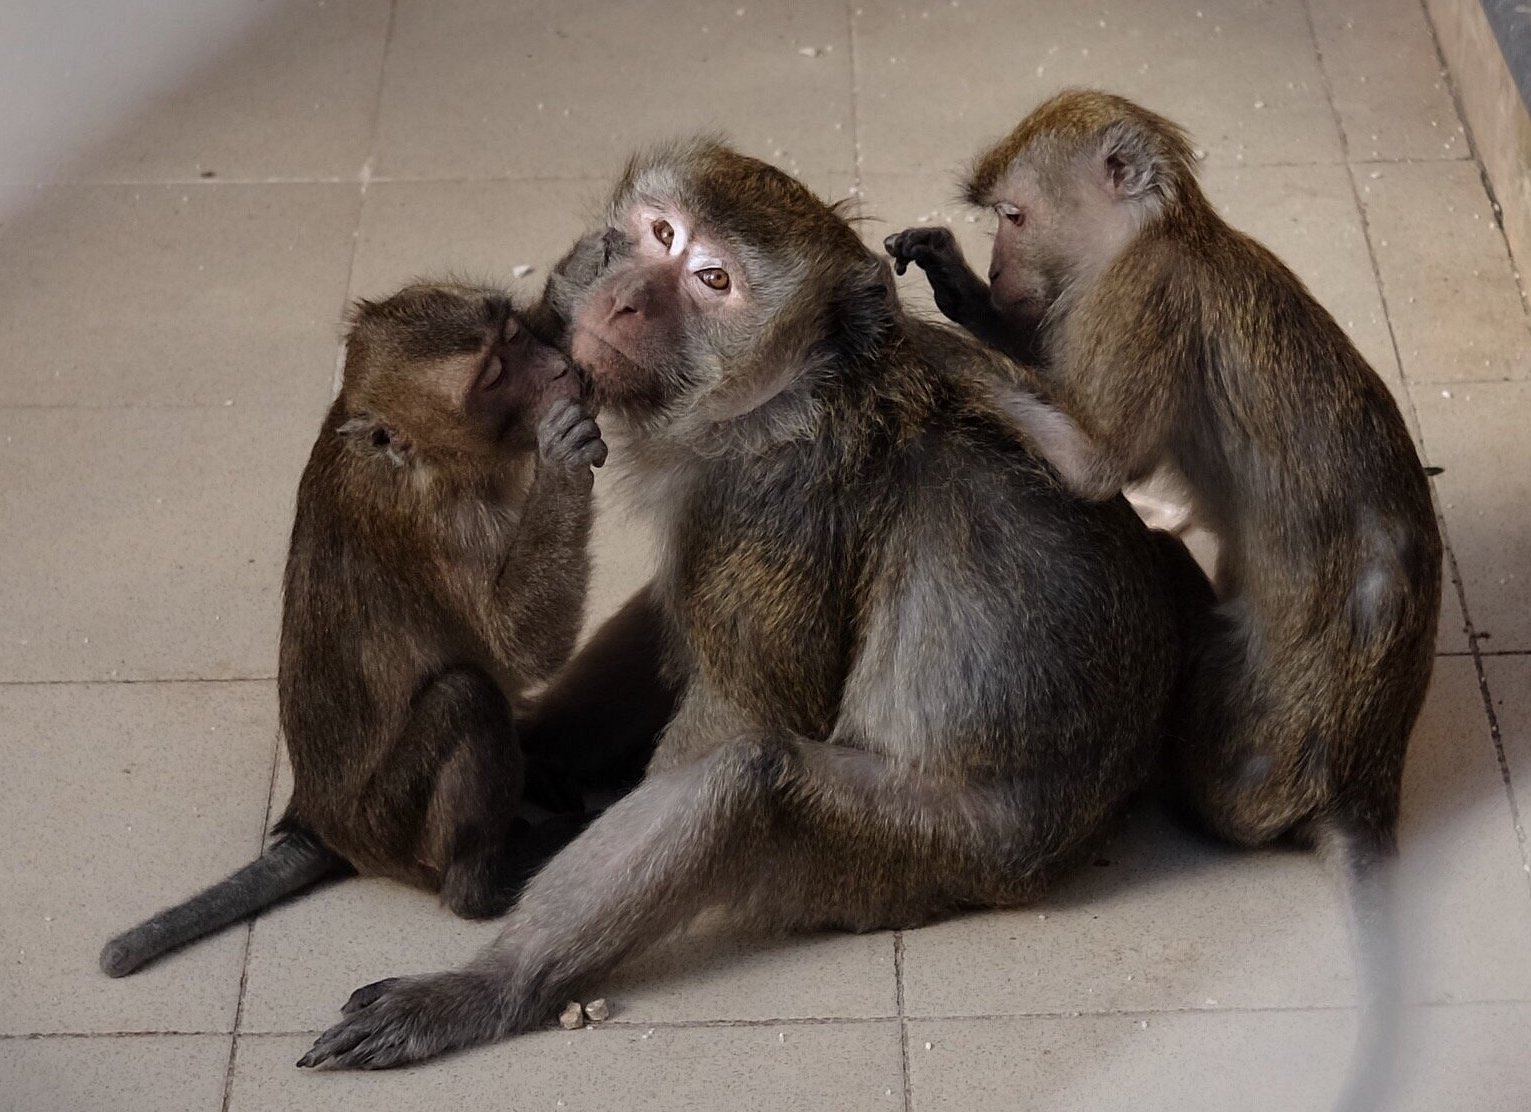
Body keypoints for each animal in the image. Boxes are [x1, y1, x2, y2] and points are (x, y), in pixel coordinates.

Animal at [98, 281, 607, 979]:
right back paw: (486, 880)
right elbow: (521, 644)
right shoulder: (440, 526)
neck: (429, 461)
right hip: (388, 825)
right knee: (466, 698)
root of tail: (321, 822)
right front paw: (562, 459)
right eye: (494, 377)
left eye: (511, 335)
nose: (559, 371)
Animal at [294, 137, 1194, 1071]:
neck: (782, 400)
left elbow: (739, 720)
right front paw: (534, 741)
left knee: (751, 782)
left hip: (945, 856)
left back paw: (494, 986)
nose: (619, 294)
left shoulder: (772, 508)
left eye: (712, 280)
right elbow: (664, 614)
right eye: (659, 233)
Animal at [885, 89, 1443, 1111]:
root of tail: (1366, 768)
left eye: (1015, 216)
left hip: (1261, 740)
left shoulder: (1142, 298)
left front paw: (918, 335)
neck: (1162, 233)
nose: (998, 265)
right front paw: (955, 290)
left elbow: (1096, 465)